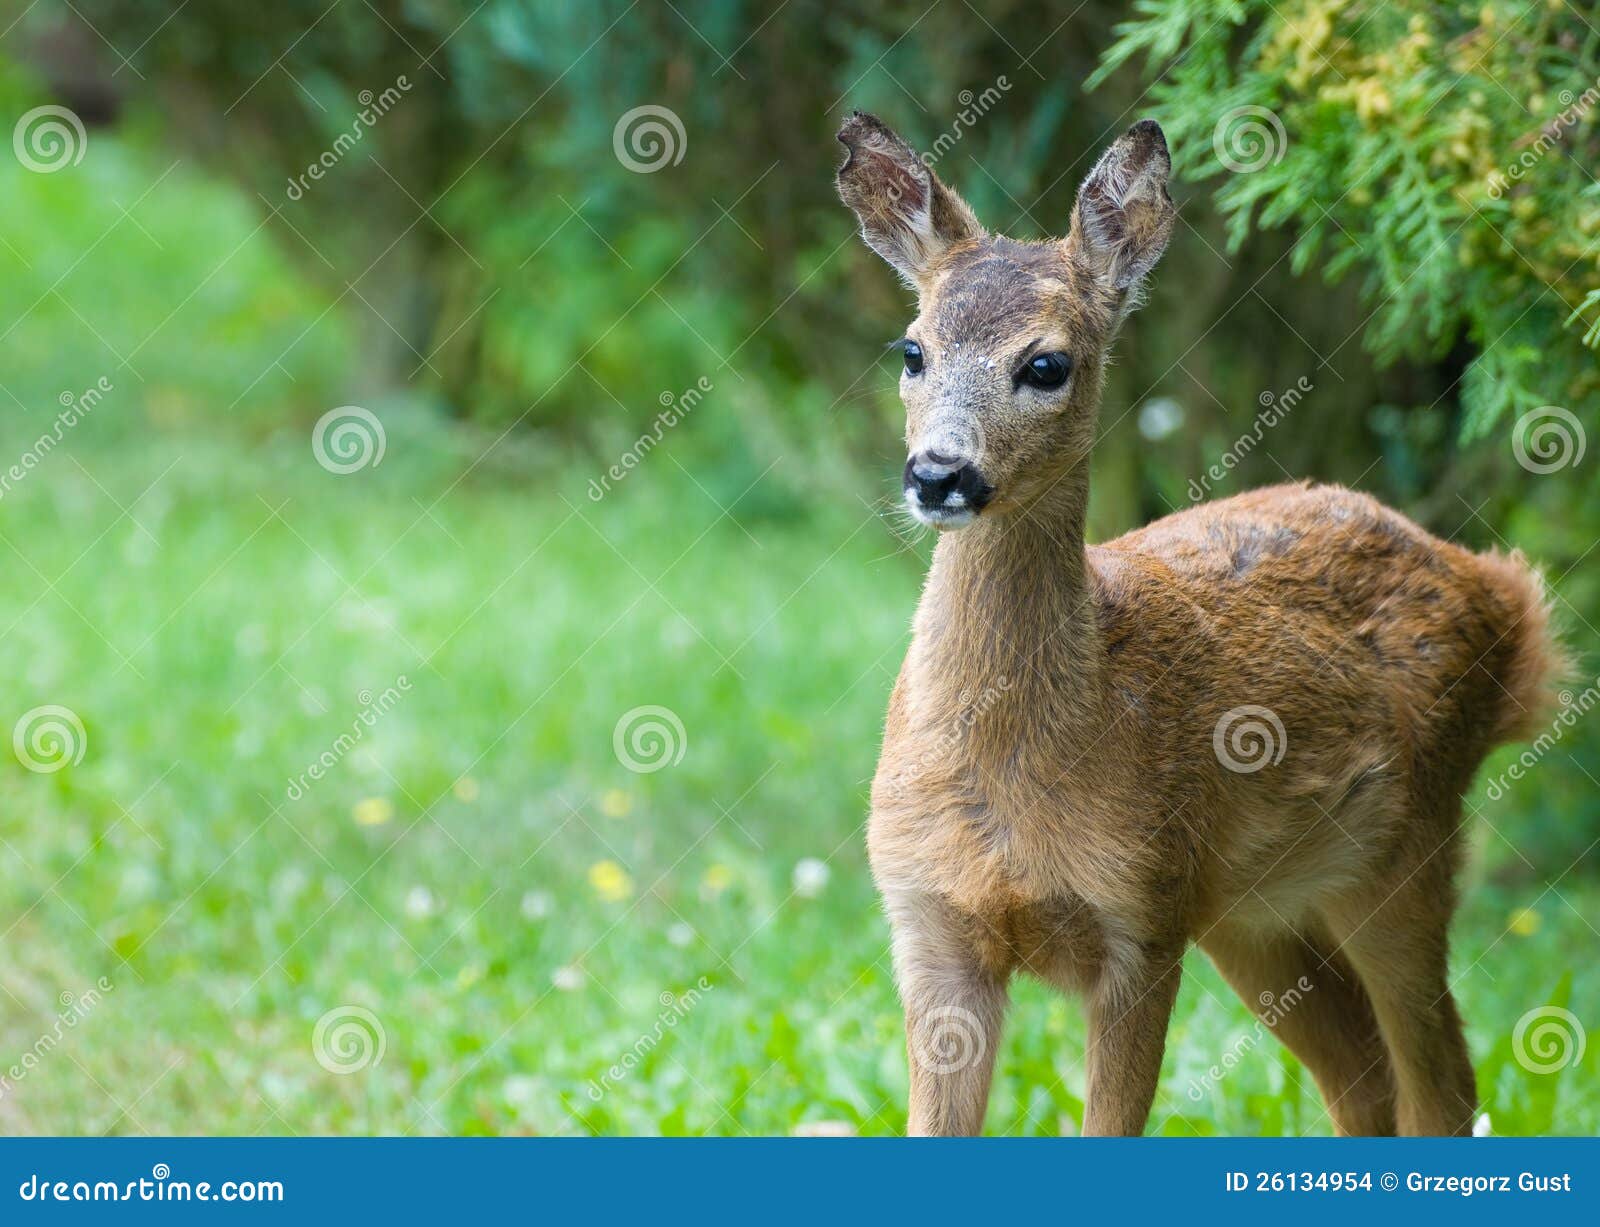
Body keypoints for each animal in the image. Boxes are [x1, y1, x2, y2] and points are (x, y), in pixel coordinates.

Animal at [835, 112, 1565, 1137]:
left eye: (1046, 364)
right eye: (911, 351)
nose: (940, 474)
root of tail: (1503, 595)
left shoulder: (1140, 914)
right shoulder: (930, 920)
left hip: (1406, 849)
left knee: (1442, 1084)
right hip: (1252, 912)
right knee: (1364, 1078)